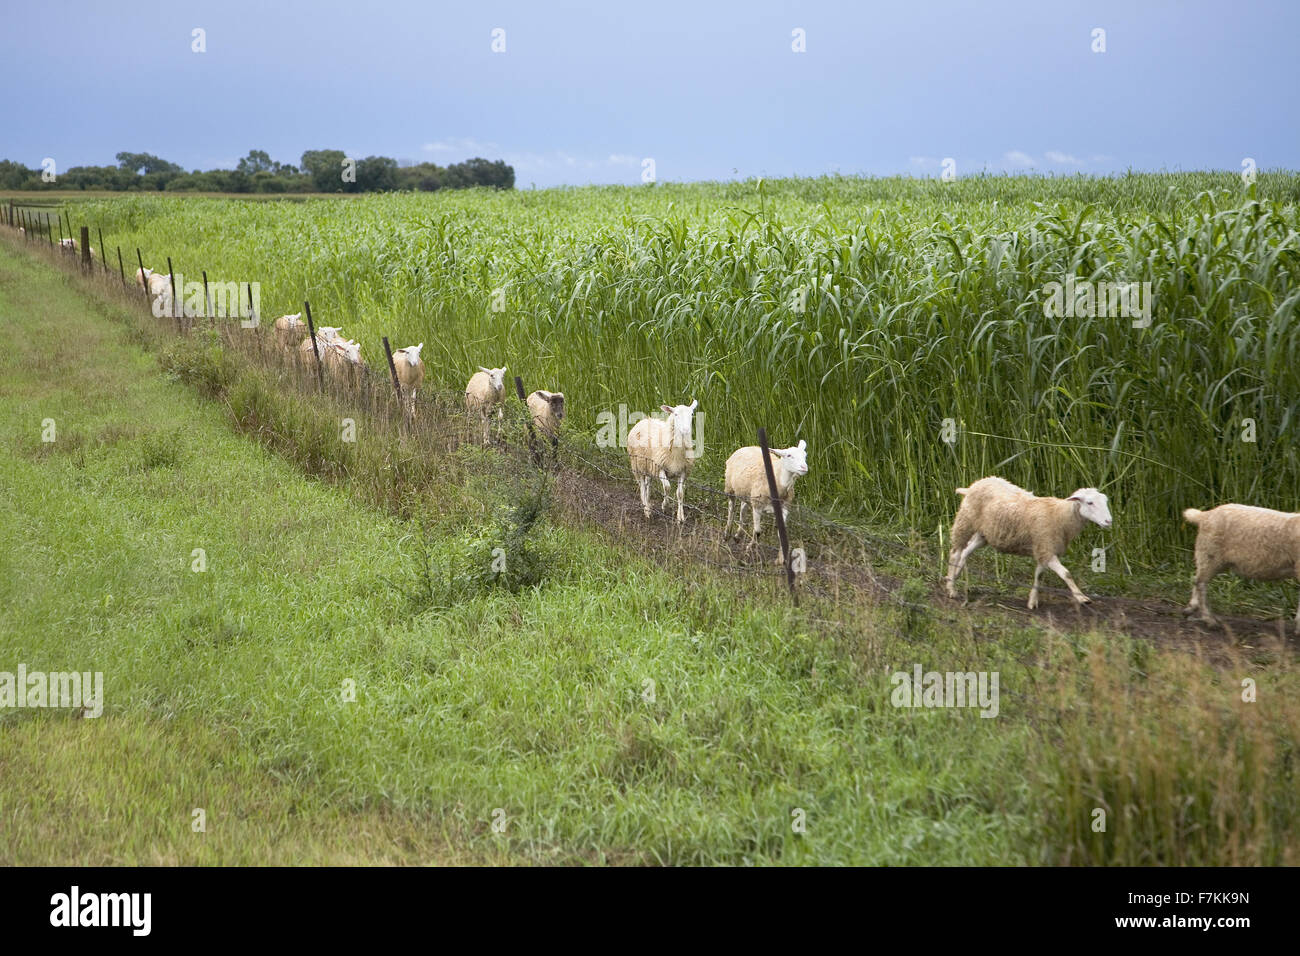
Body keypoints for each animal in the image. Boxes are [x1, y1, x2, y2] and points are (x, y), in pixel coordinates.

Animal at [943, 476, 1112, 609]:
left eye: (1105, 501)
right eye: (1090, 503)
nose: (1109, 521)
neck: (1060, 516)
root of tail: (973, 485)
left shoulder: (1043, 548)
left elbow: (1039, 575)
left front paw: (1032, 601)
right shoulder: (1046, 548)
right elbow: (1066, 574)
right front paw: (1081, 597)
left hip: (985, 533)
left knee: (966, 551)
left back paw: (955, 575)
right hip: (965, 521)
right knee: (955, 553)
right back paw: (951, 588)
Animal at [1182, 504, 1300, 633]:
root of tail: (1204, 515)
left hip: (1210, 557)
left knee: (1196, 579)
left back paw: (1190, 608)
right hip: (1210, 554)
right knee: (1200, 583)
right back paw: (1209, 620)